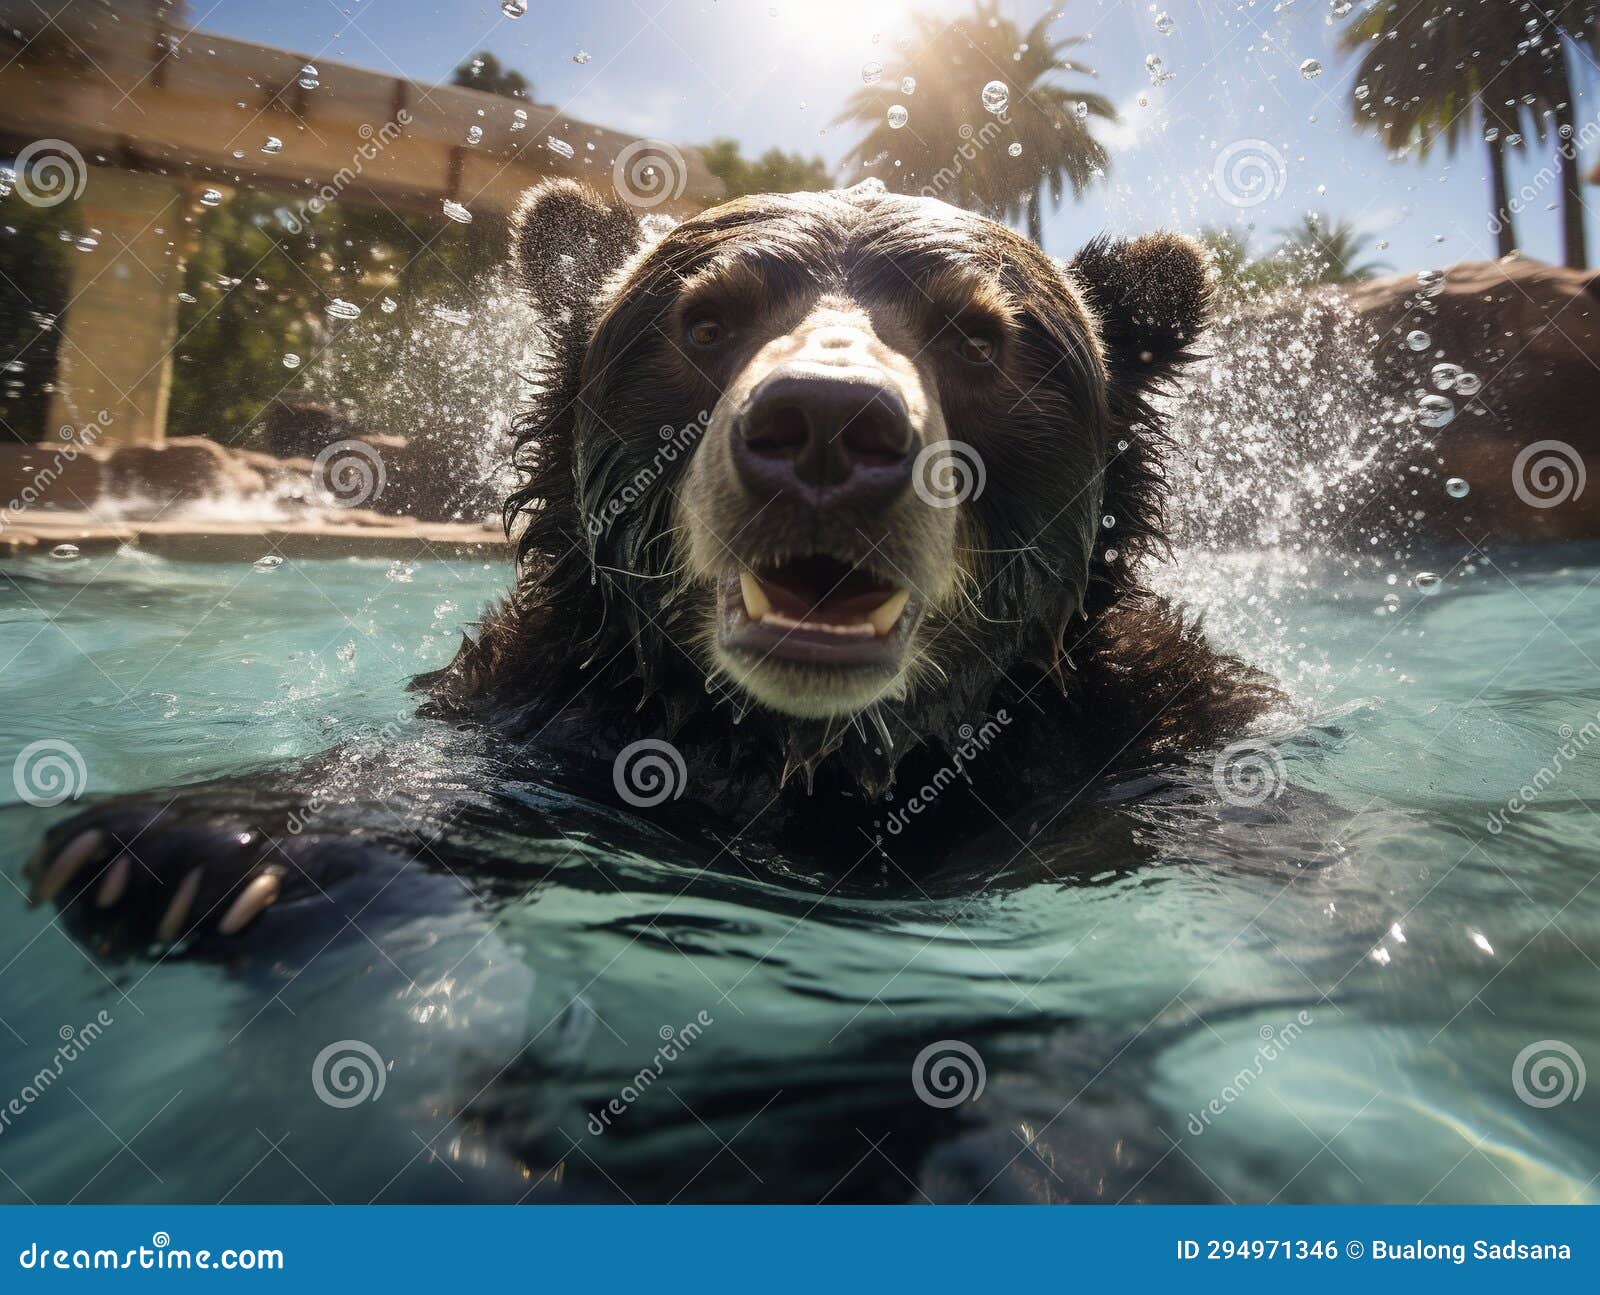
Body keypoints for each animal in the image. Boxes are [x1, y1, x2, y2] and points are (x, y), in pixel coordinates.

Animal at [22, 179, 1280, 948]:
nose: (827, 426)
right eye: (706, 318)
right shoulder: (556, 707)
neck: (811, 758)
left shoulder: (1133, 741)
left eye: (979, 333)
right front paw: (183, 840)